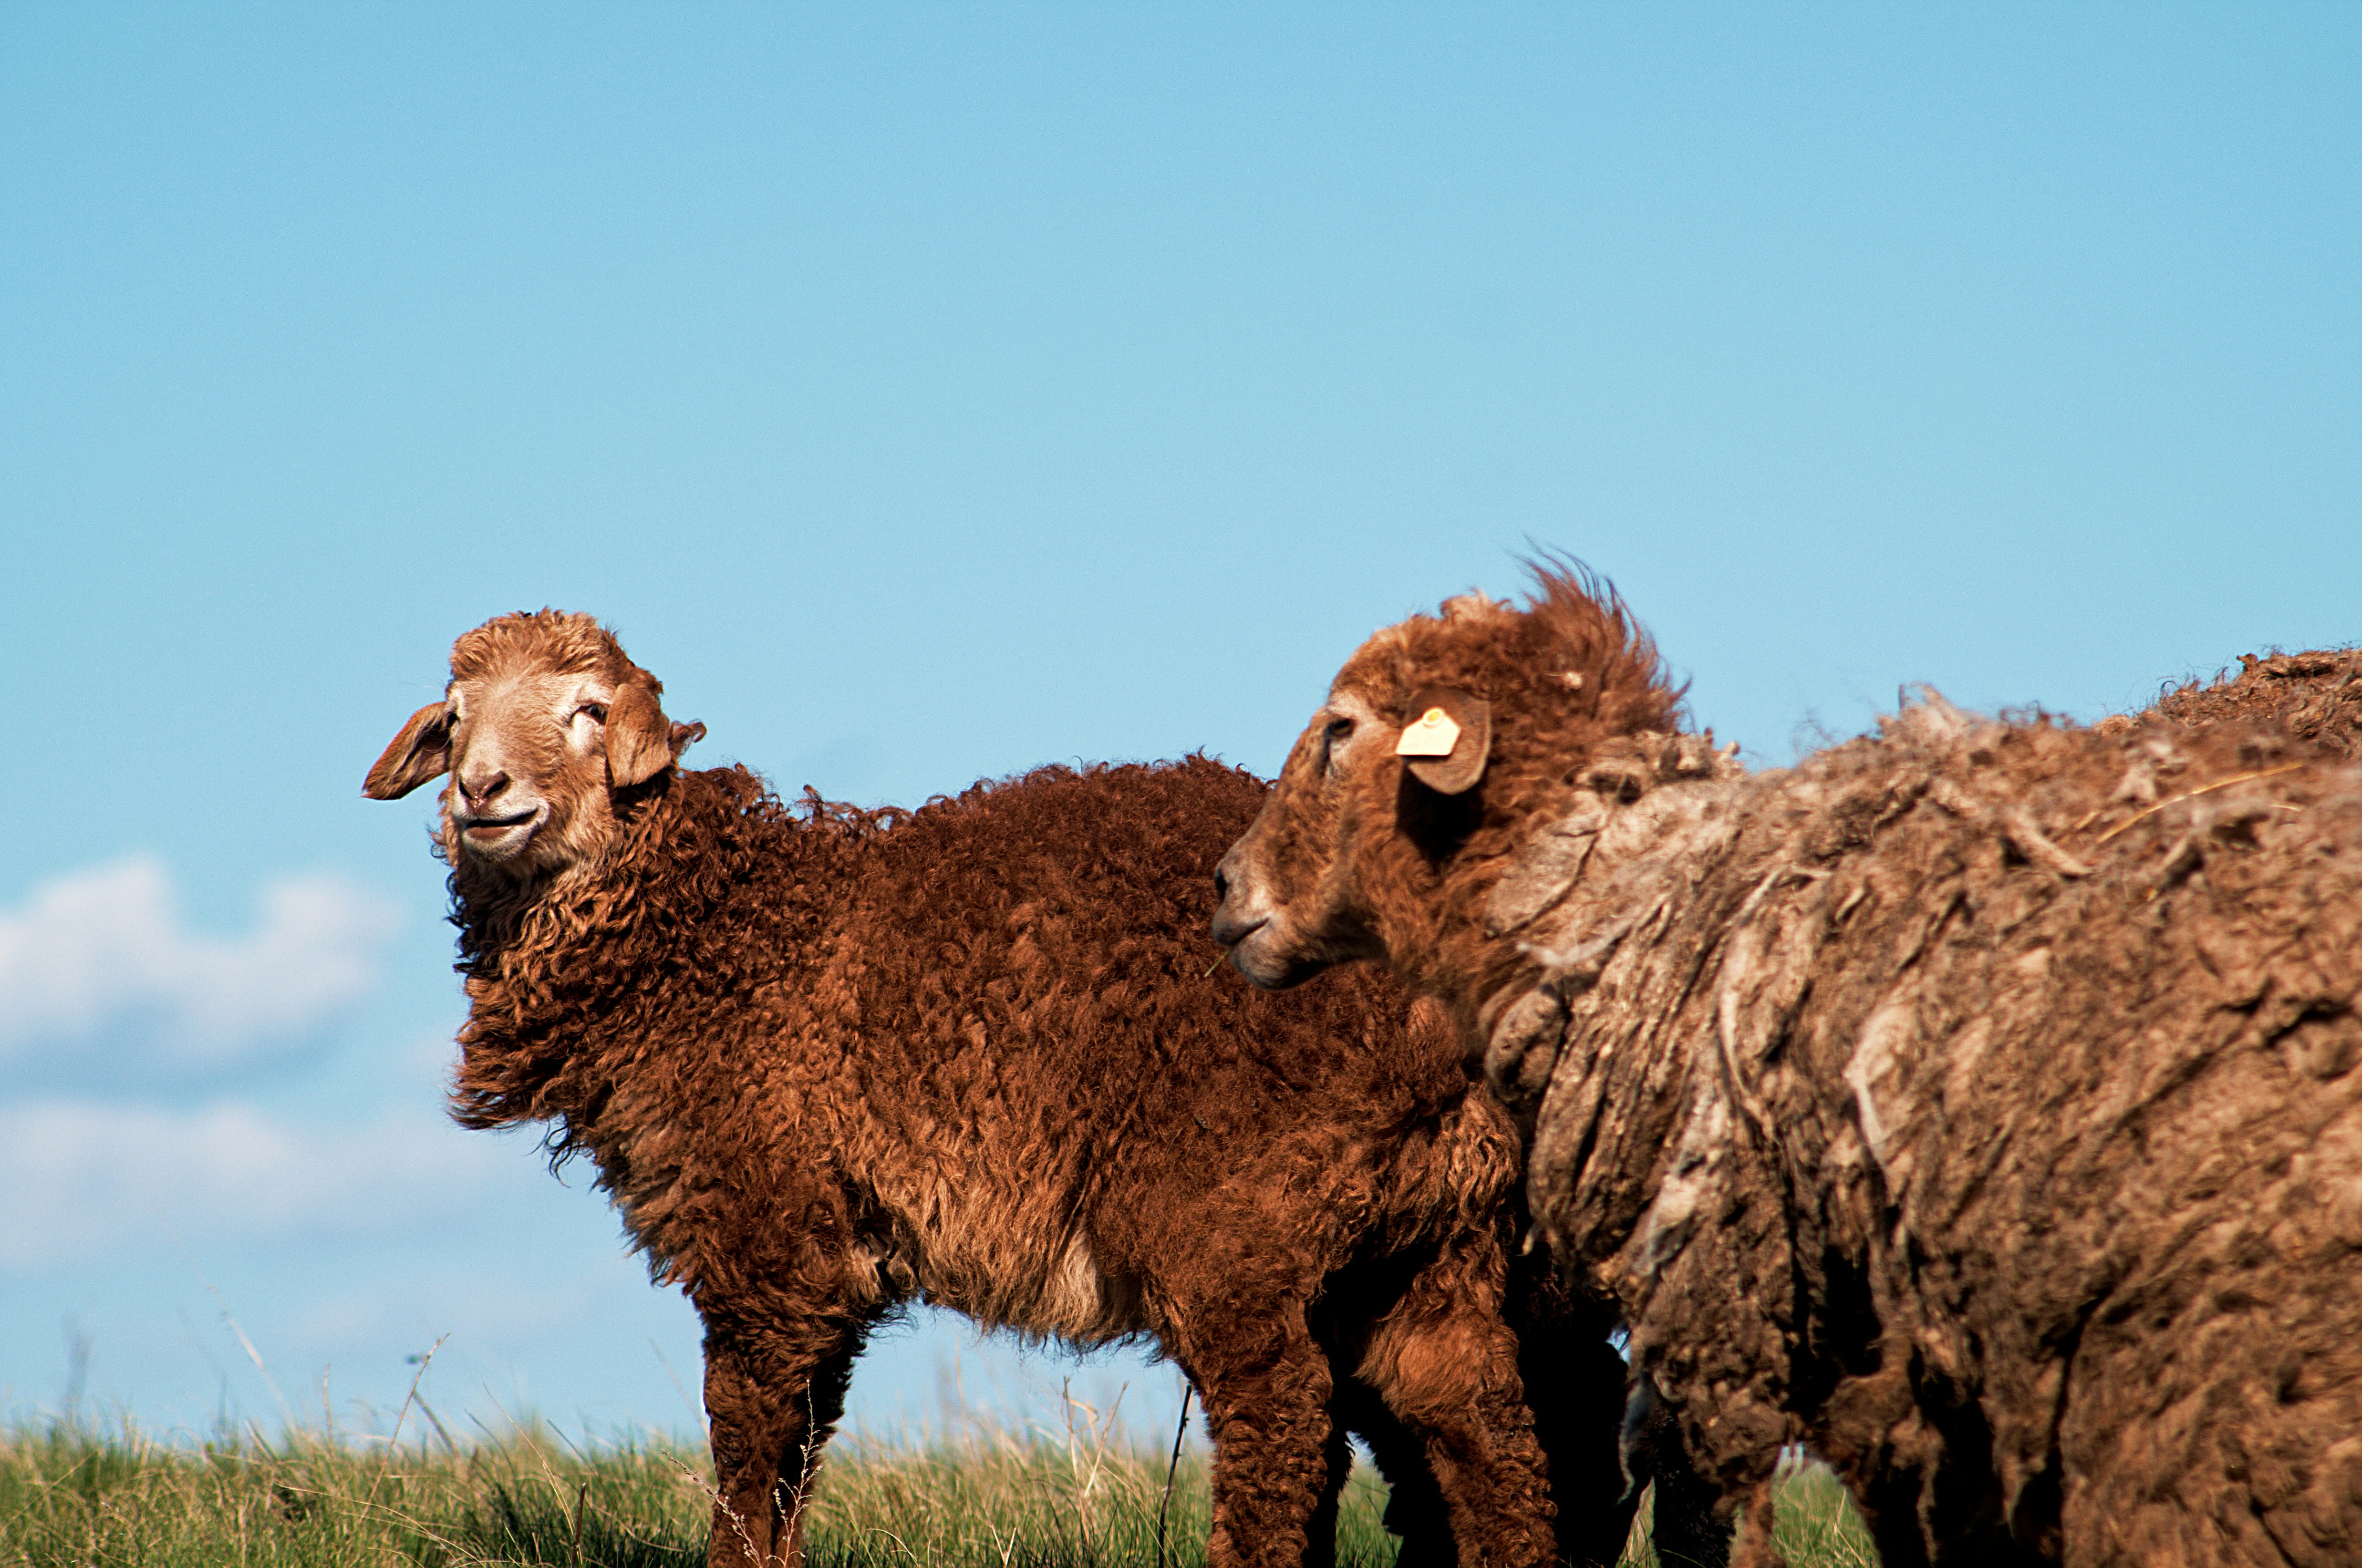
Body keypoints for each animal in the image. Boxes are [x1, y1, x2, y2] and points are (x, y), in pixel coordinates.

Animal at [363, 609, 1683, 1568]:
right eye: (457, 718)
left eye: (589, 712)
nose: (483, 793)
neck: (721, 936)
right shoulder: (829, 1259)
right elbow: (795, 1459)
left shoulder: (766, 1235)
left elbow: (748, 1447)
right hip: (1427, 1239)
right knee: (1488, 1430)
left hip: (1238, 1213)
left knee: (1291, 1423)